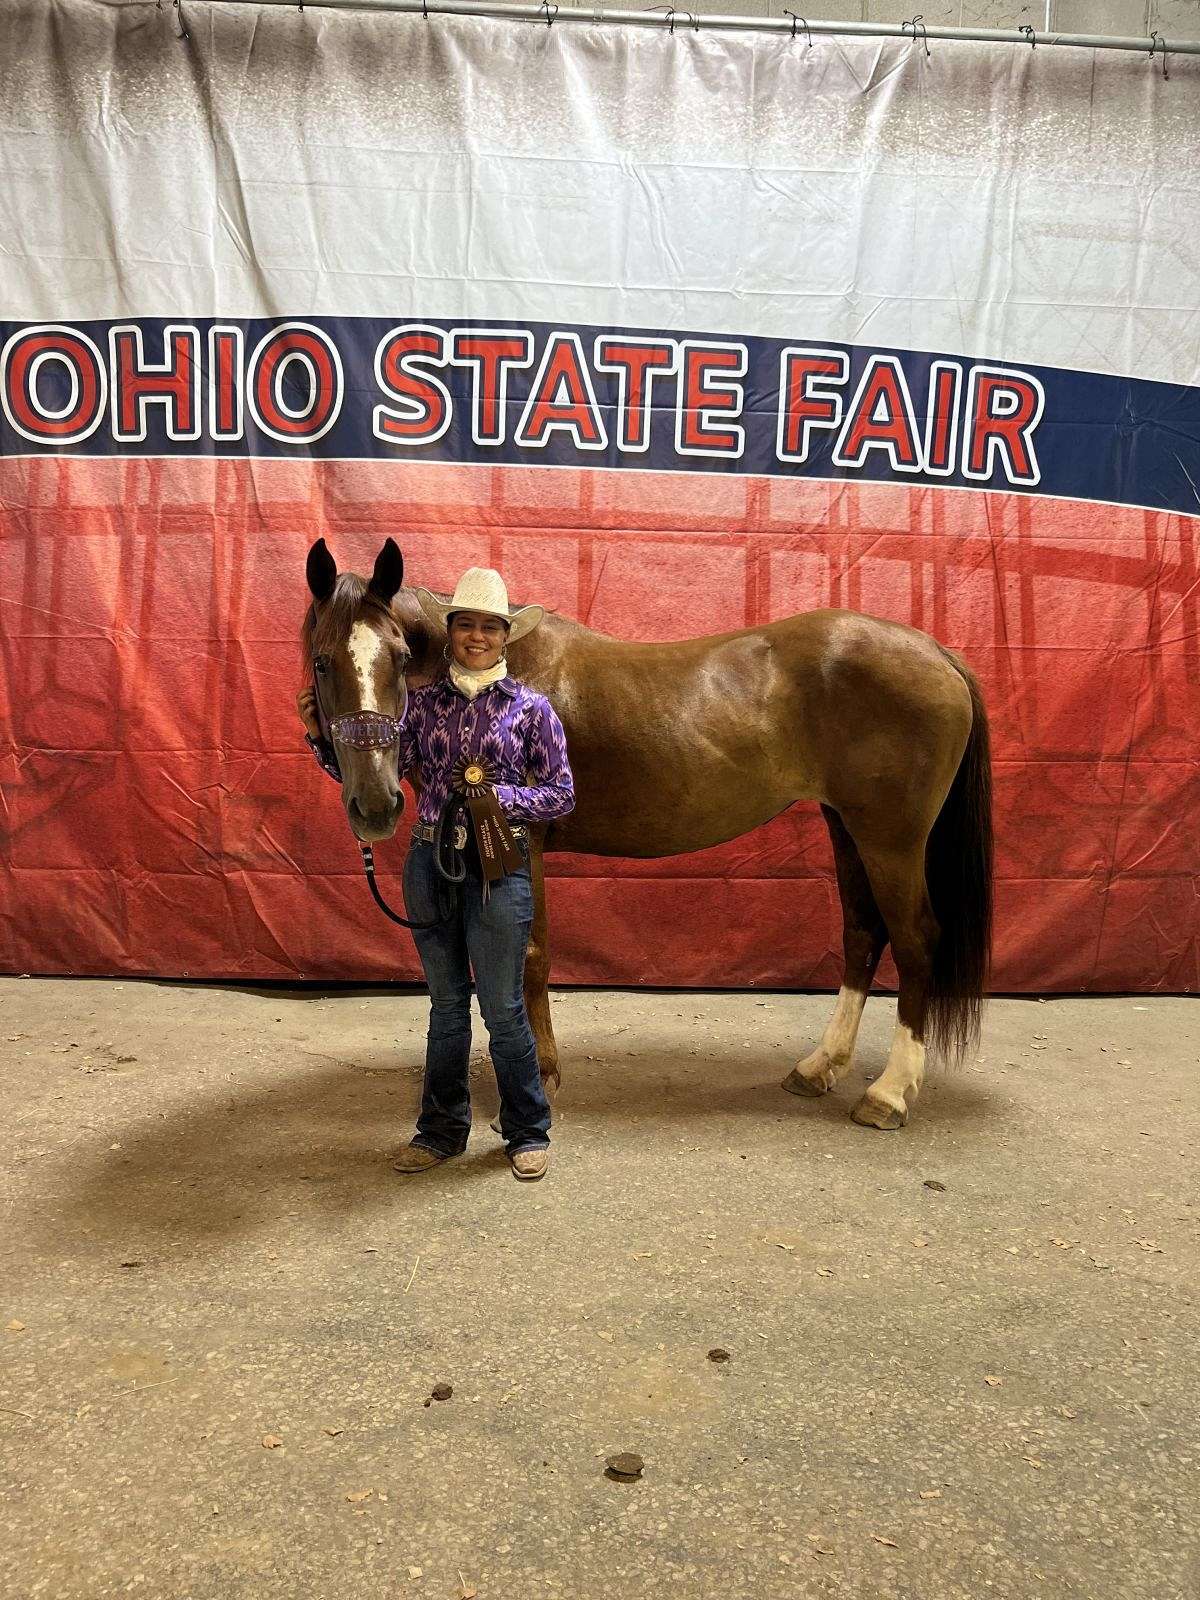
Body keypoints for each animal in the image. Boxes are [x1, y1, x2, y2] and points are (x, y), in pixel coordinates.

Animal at [301, 536, 992, 1130]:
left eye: (397, 657)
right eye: (322, 662)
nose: (374, 804)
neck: (493, 679)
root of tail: (938, 654)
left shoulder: (526, 838)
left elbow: (530, 956)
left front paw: (541, 1079)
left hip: (892, 840)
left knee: (916, 940)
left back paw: (889, 1093)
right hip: (847, 826)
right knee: (862, 932)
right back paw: (819, 1068)